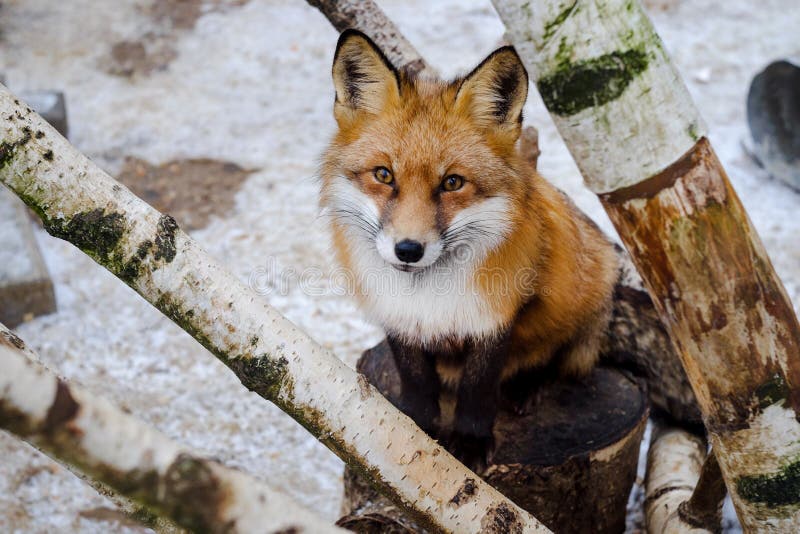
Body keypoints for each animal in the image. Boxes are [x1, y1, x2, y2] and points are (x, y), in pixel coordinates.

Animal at [319, 29, 618, 469]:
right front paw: (418, 429)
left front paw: (471, 442)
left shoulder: (495, 317)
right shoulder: (398, 318)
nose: (408, 249)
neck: (428, 295)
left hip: (587, 295)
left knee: (560, 361)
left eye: (452, 183)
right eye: (384, 175)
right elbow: (417, 382)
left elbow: (479, 389)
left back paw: (528, 386)